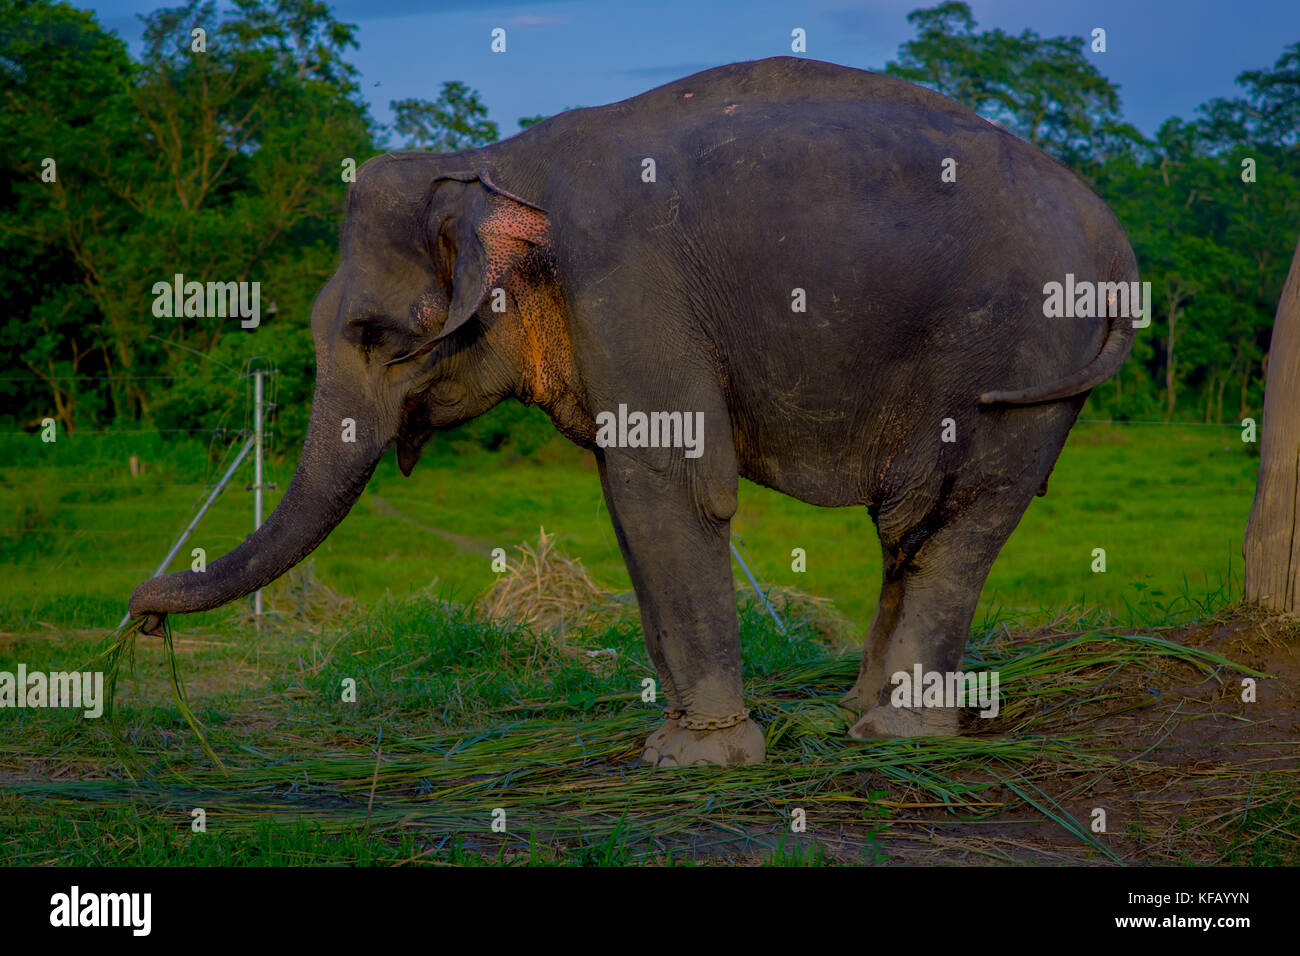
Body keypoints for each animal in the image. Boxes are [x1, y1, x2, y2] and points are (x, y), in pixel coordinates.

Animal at [129, 56, 1138, 767]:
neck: (495, 161)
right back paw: (860, 713)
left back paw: (898, 735)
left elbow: (677, 481)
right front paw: (669, 743)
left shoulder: (623, 280)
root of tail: (1111, 230)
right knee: (919, 524)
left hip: (1020, 348)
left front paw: (701, 758)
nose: (142, 618)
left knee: (956, 512)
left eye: (377, 335)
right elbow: (626, 496)